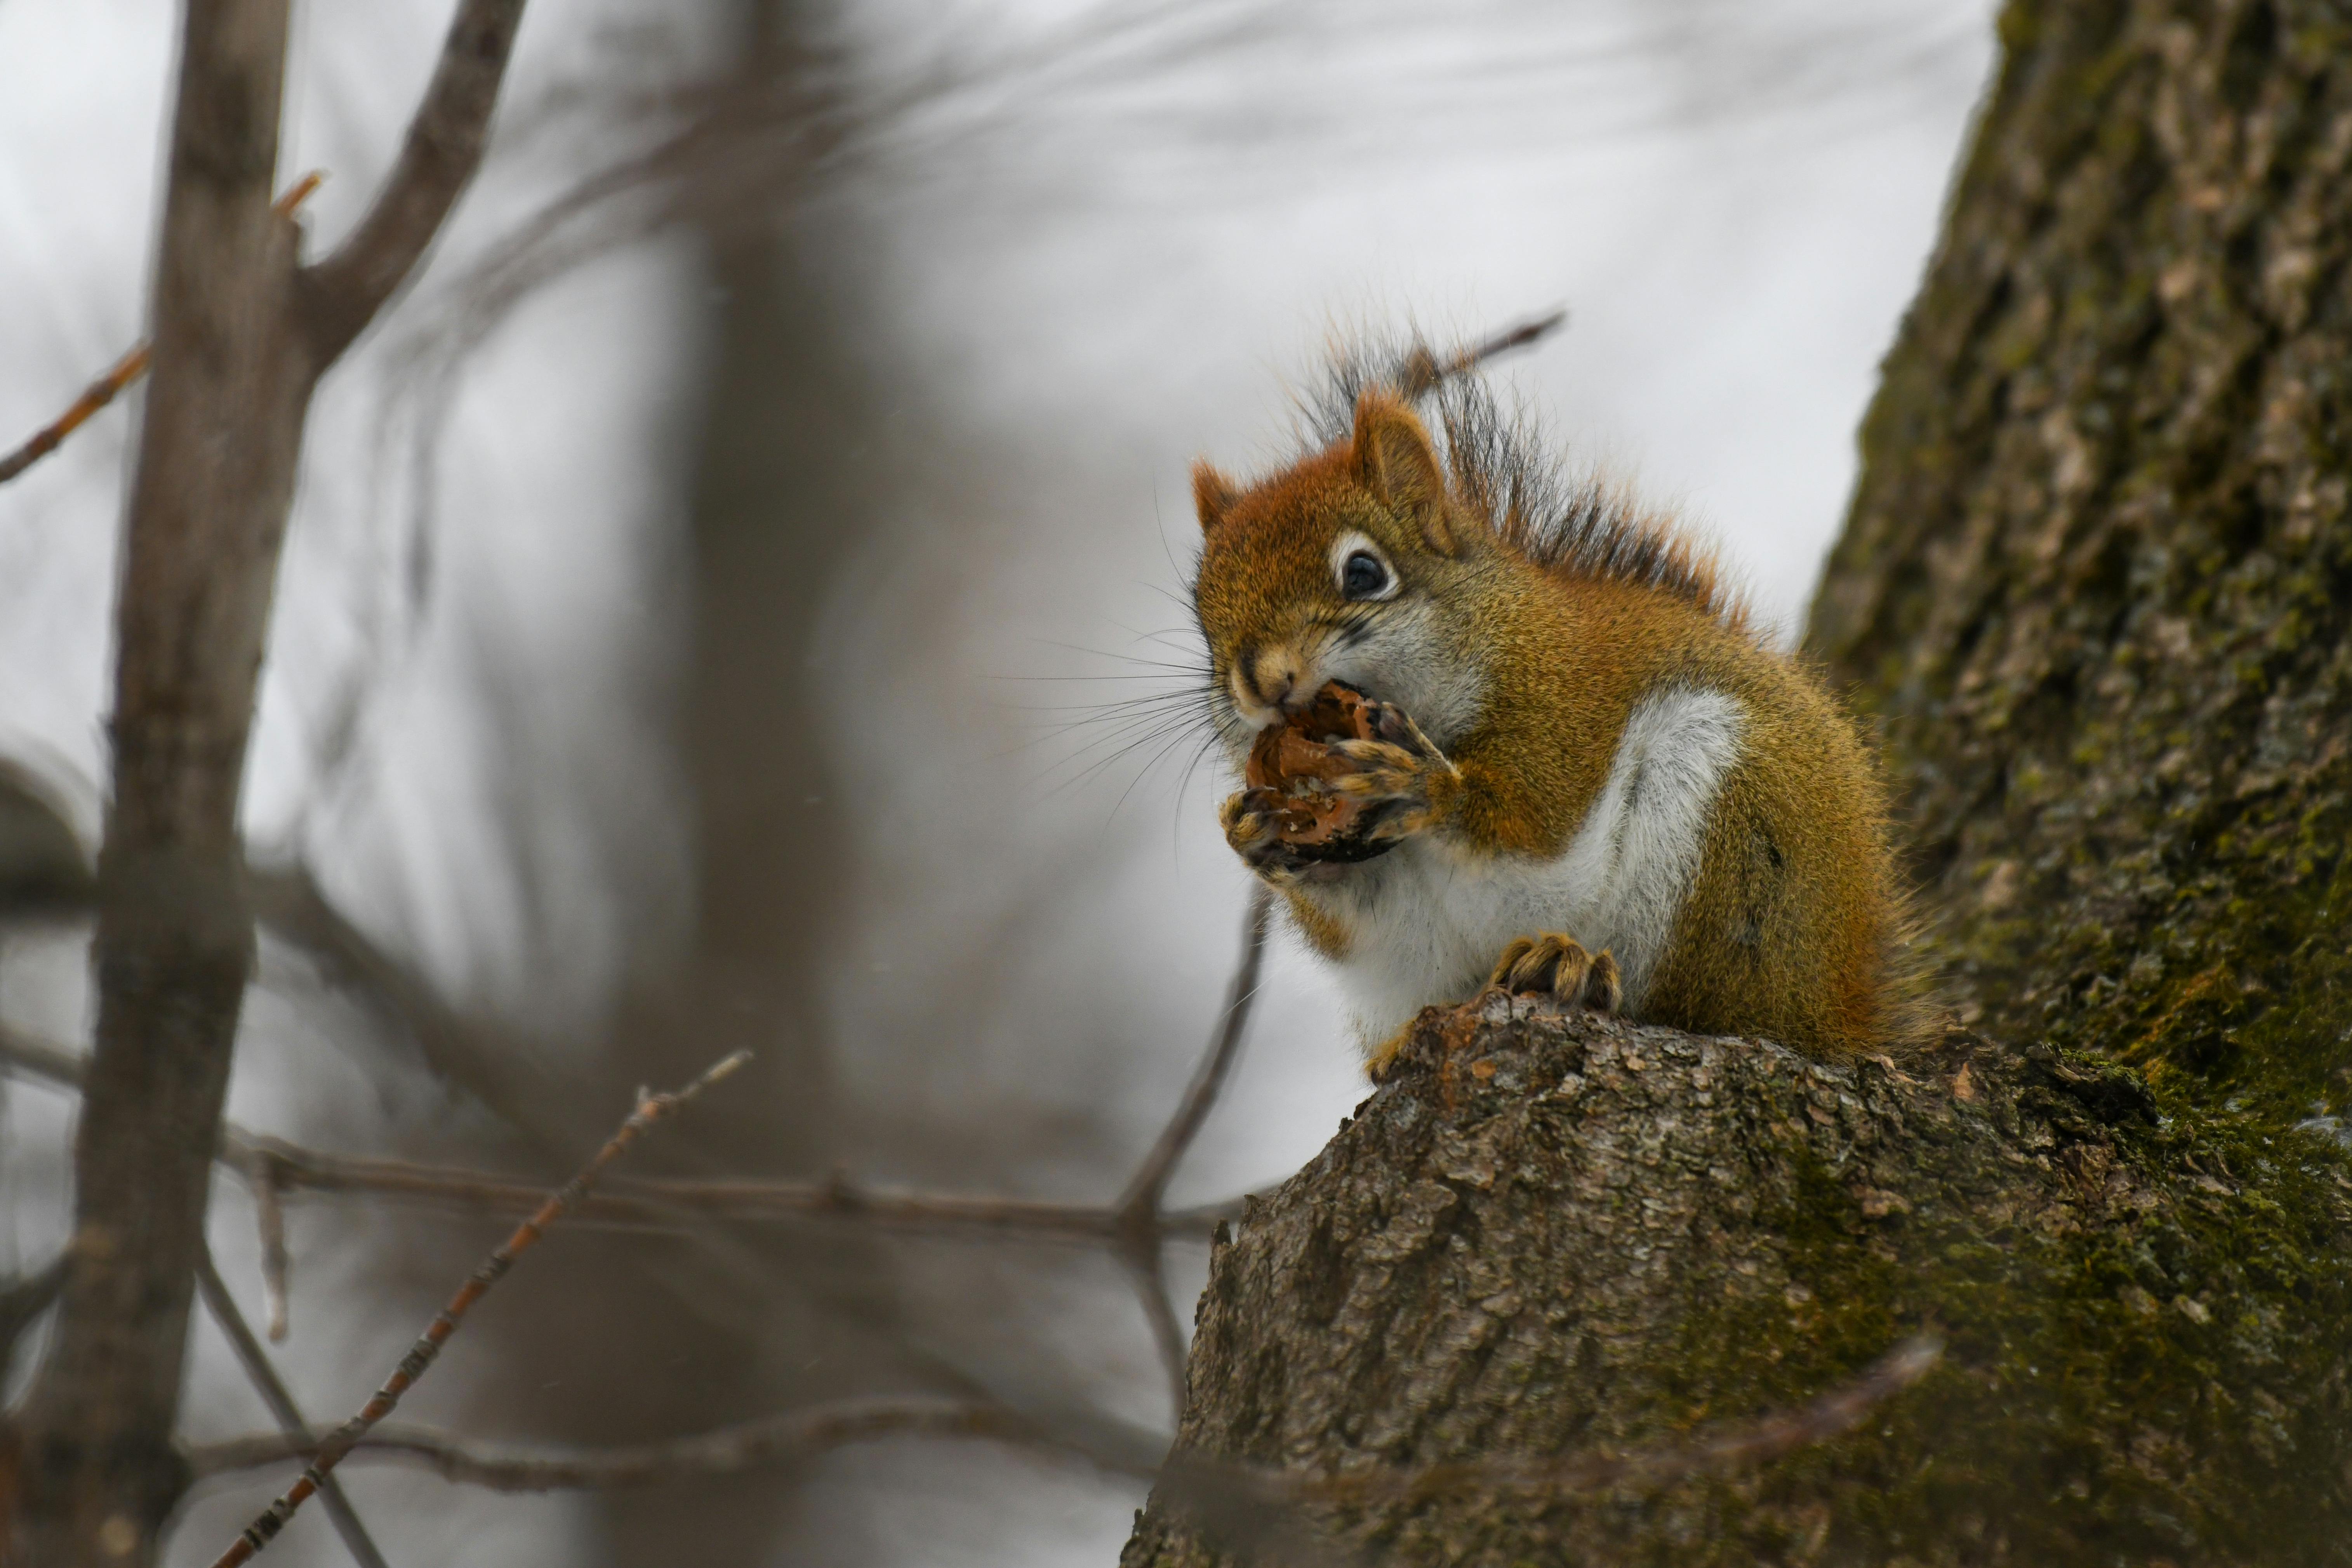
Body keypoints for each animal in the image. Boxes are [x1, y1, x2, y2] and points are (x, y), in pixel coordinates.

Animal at [1187, 331, 1927, 1074]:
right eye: (1203, 616)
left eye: (1364, 572)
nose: (1261, 681)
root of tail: (1832, 1013)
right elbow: (1348, 925)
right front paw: (1250, 831)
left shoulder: (1564, 708)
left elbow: (1533, 823)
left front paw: (1424, 783)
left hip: (1738, 826)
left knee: (1708, 1008)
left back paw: (1571, 965)